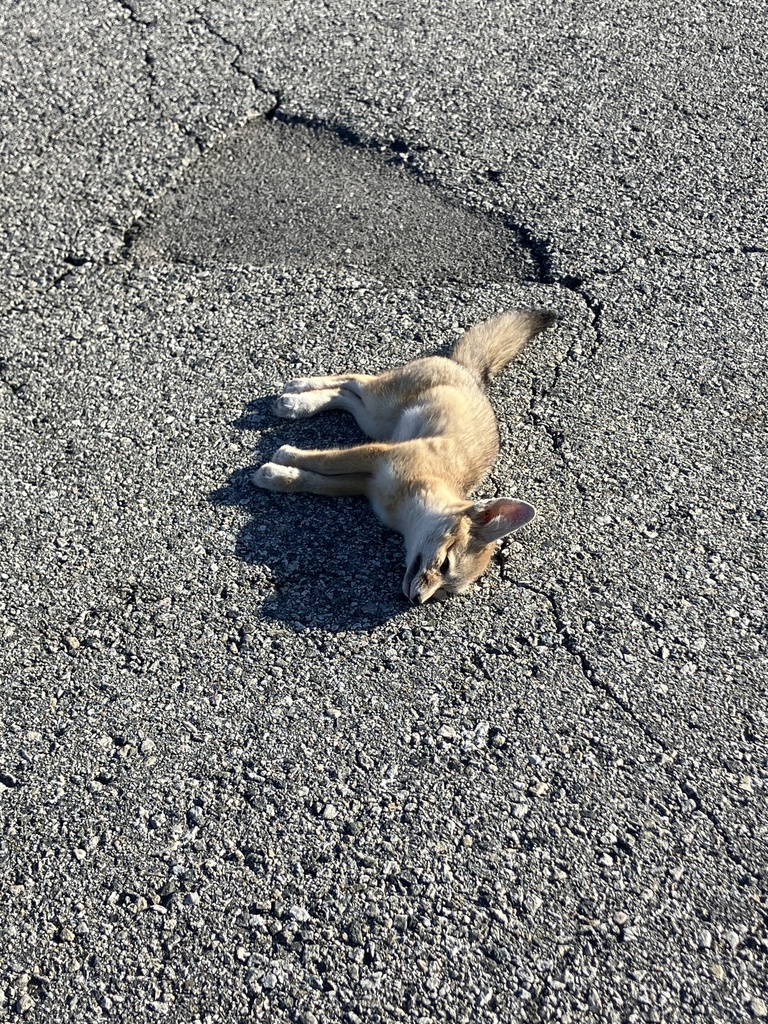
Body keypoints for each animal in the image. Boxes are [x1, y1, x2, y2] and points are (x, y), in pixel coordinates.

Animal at [251, 309, 556, 604]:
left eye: (443, 593)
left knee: (345, 394)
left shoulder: (365, 483)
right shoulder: (377, 456)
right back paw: (298, 390)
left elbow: (314, 482)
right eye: (444, 565)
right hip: (379, 407)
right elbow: (322, 460)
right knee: (355, 379)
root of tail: (470, 374)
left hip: (372, 420)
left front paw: (278, 476)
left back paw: (300, 402)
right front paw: (283, 457)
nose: (417, 600)